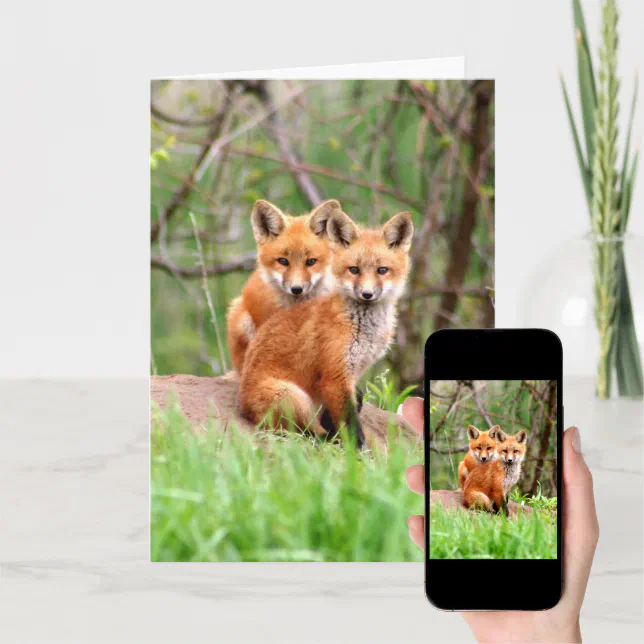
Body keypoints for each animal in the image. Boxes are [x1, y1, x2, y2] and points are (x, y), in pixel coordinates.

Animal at [238, 209, 414, 448]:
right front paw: (357, 451)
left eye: (382, 270)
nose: (367, 294)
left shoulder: (352, 374)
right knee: (305, 434)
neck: (362, 329)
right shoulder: (335, 375)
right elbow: (351, 426)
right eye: (354, 270)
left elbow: (345, 413)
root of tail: (244, 407)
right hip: (294, 398)